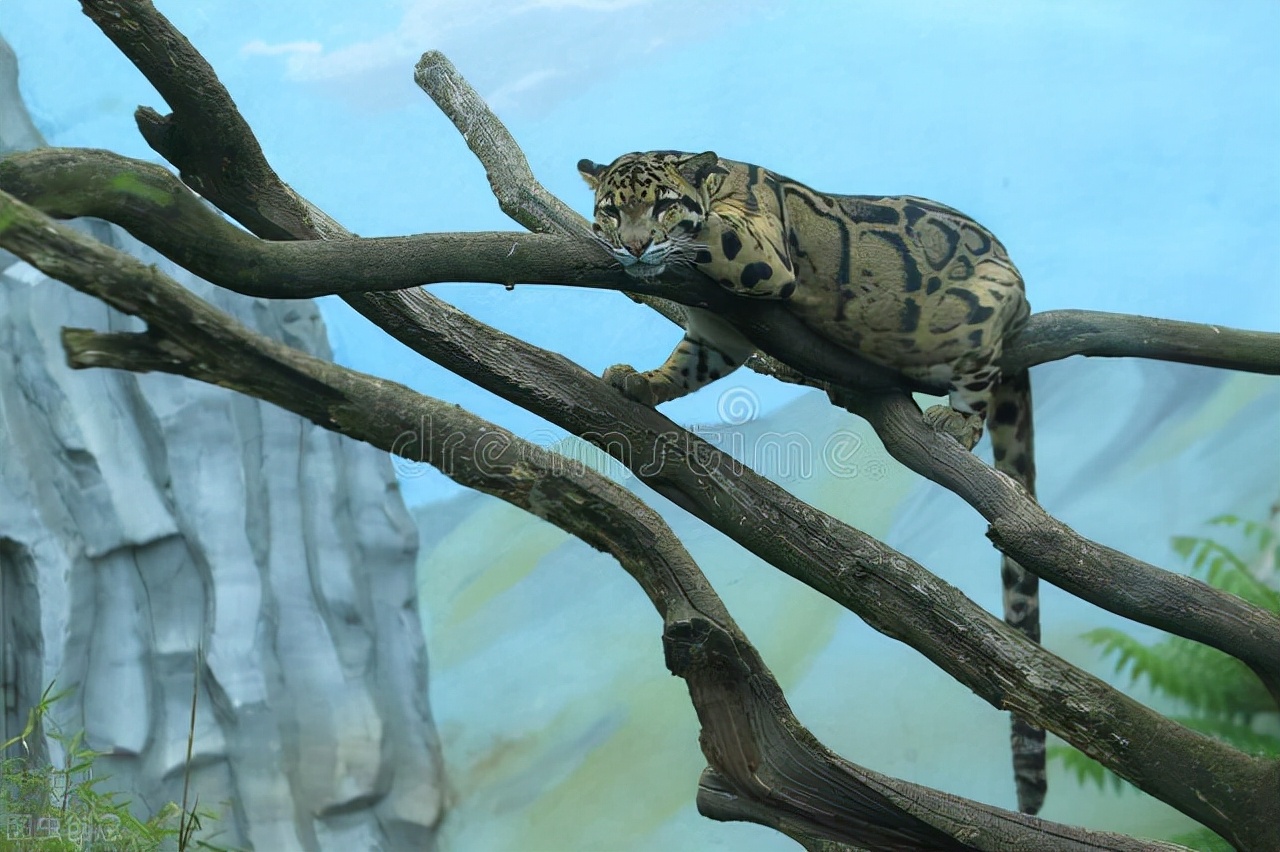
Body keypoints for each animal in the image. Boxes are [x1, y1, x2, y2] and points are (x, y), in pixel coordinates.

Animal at [579, 150, 1045, 815]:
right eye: (611, 211)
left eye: (663, 205)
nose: (635, 245)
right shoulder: (719, 334)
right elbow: (687, 364)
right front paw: (641, 381)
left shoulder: (760, 257)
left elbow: (712, 239)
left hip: (981, 313)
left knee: (980, 378)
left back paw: (955, 419)